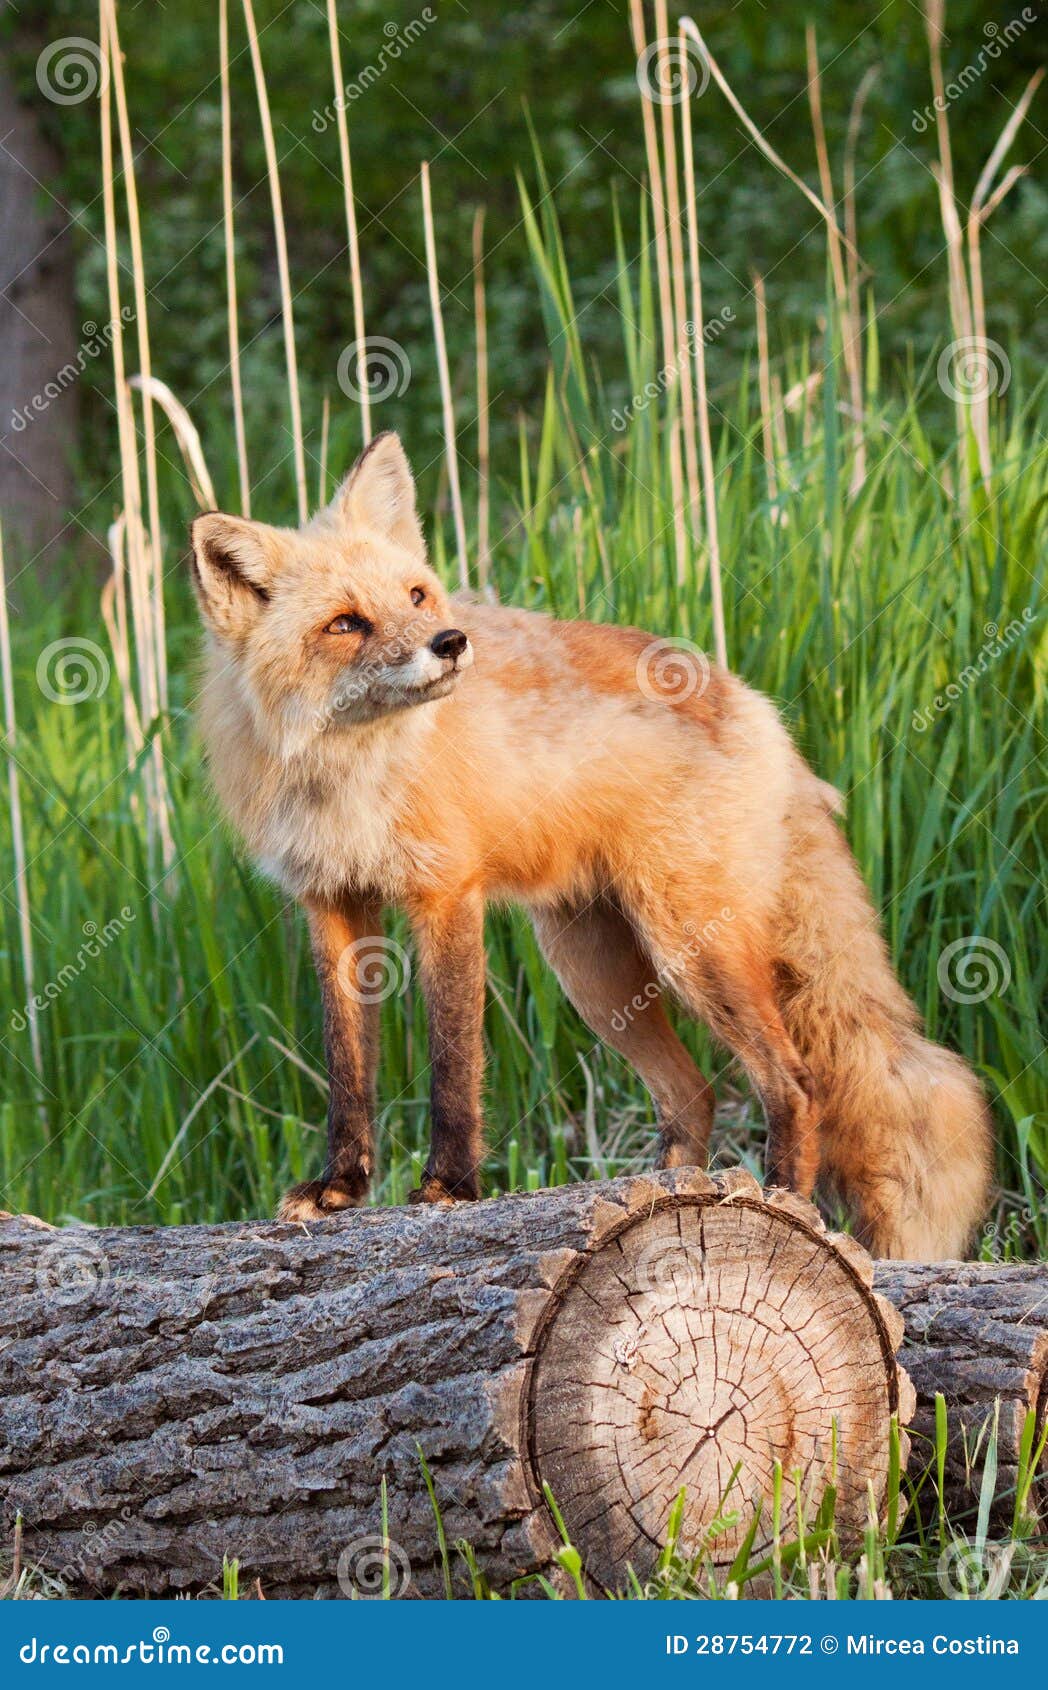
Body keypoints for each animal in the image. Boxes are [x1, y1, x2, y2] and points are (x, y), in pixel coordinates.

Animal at [189, 430, 992, 1260]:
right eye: (346, 622)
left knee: (794, 1083)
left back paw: (779, 1201)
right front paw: (340, 1187)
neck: (350, 773)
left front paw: (450, 1186)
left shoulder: (446, 893)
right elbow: (346, 1068)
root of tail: (754, 704)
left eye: (415, 596)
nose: (451, 642)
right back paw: (664, 1201)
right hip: (597, 975)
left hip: (690, 949)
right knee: (695, 1095)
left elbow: (453, 1063)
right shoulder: (331, 903)